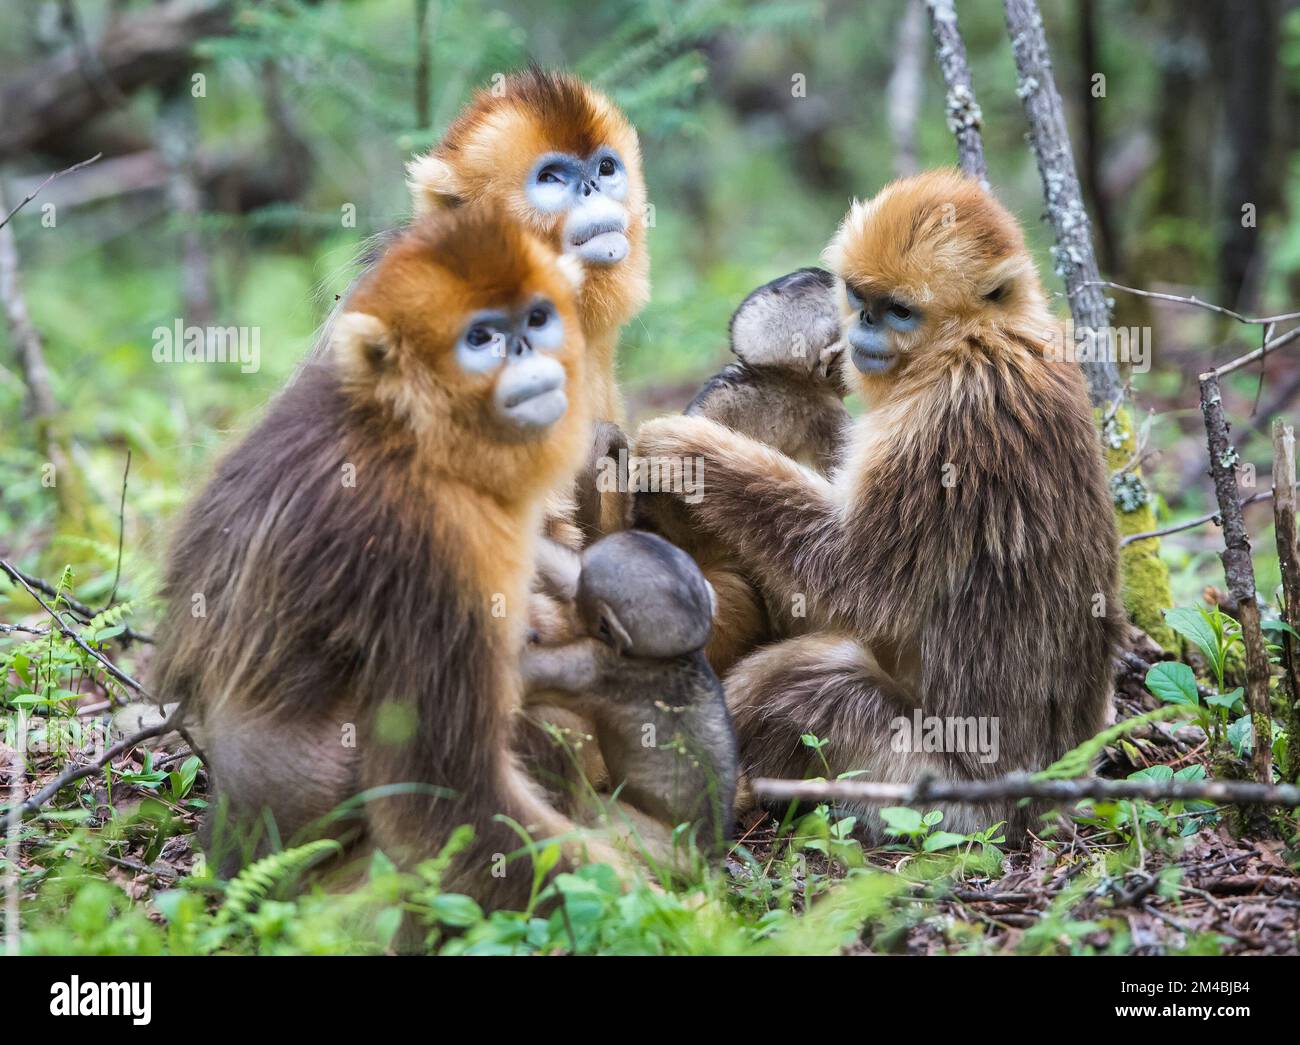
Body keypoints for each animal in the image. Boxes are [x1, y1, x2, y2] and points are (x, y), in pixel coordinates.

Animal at [150, 208, 632, 909]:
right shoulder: (432, 546)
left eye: (537, 318)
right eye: (482, 337)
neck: (409, 432)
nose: (530, 352)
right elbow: (449, 799)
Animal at [521, 531, 737, 855]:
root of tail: (710, 853)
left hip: (663, 845)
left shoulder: (602, 667)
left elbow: (528, 672)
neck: (670, 658)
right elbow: (564, 571)